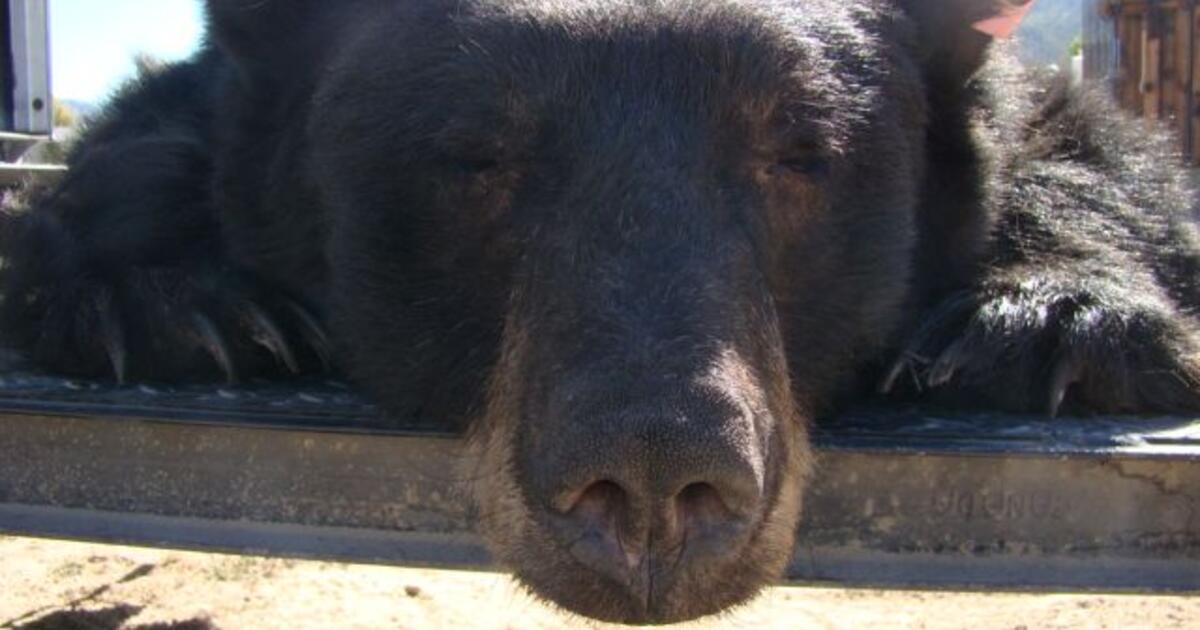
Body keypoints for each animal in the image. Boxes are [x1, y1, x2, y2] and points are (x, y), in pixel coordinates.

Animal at [3, 0, 1200, 624]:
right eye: (473, 154)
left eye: (799, 150)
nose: (658, 478)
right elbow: (142, 147)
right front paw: (168, 299)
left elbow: (1091, 152)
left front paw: (1050, 318)